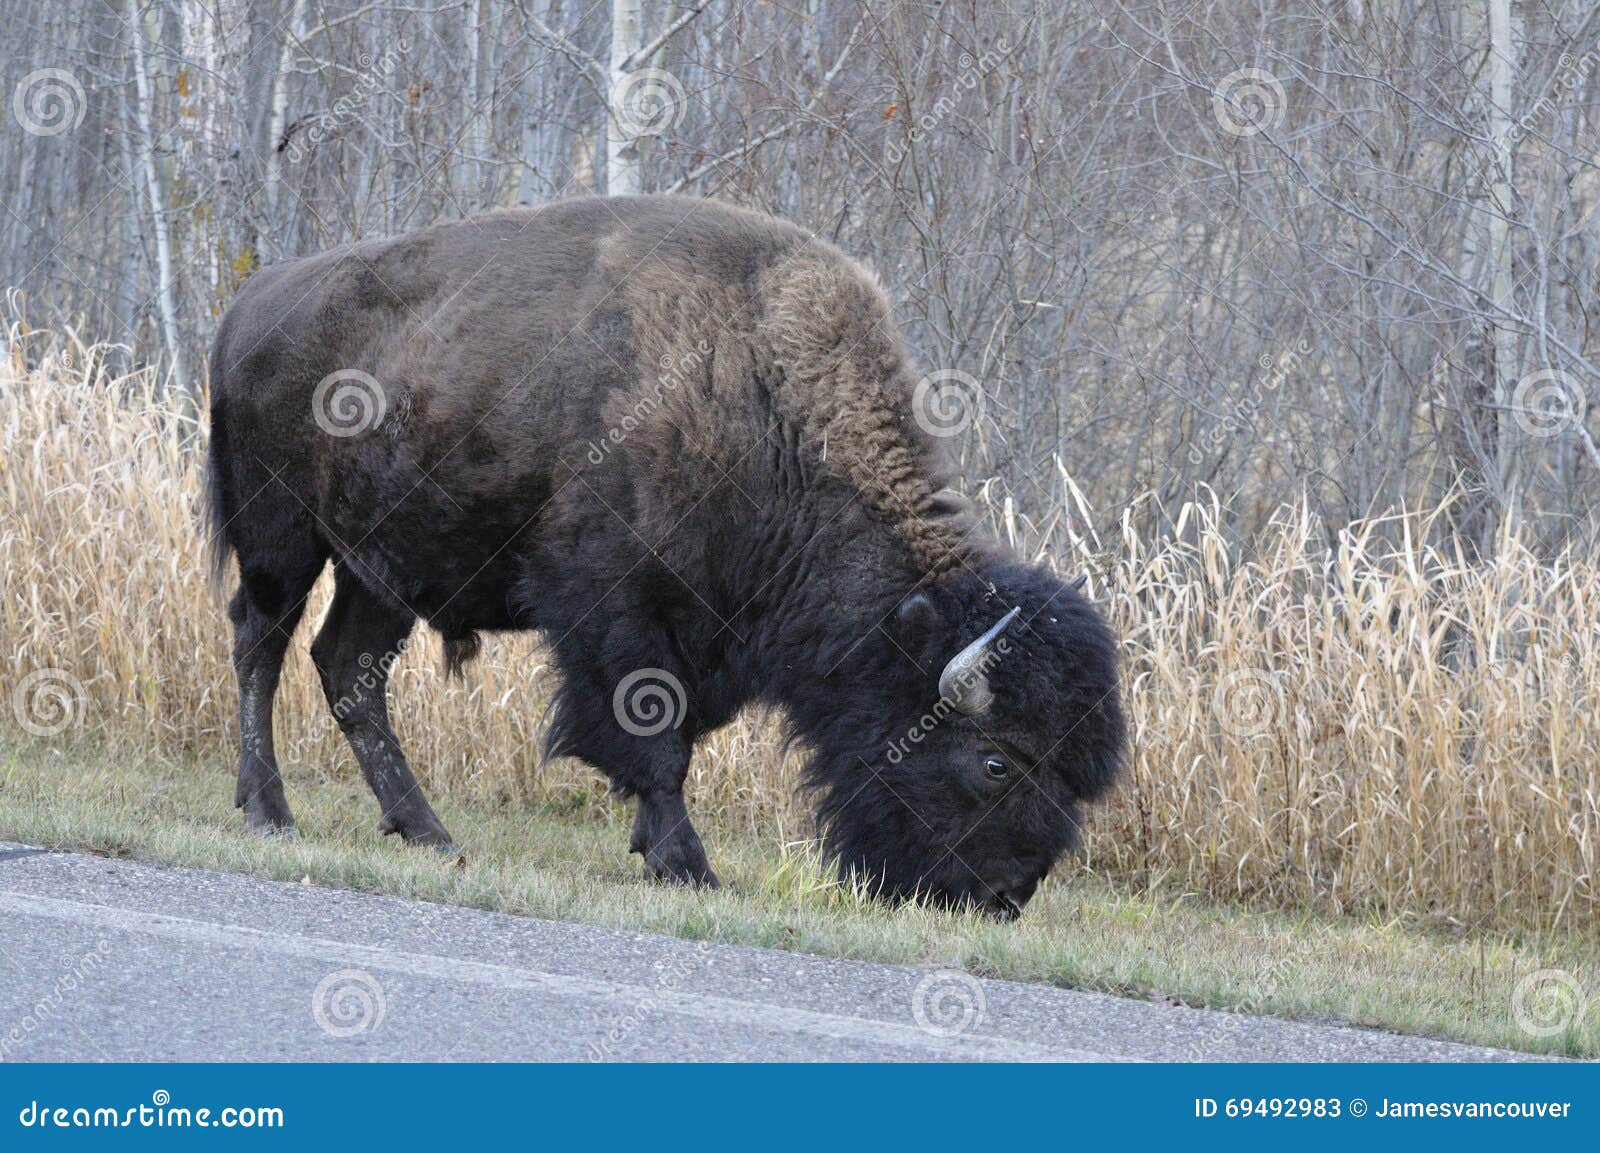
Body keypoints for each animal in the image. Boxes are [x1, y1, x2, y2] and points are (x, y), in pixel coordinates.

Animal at [205, 195, 1124, 919]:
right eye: (996, 759)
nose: (1005, 895)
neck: (766, 403)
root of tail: (250, 302)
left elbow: (677, 738)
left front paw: (662, 851)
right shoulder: (619, 610)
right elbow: (655, 737)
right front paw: (687, 864)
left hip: (381, 569)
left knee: (348, 668)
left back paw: (428, 831)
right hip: (283, 540)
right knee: (261, 644)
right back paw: (269, 811)